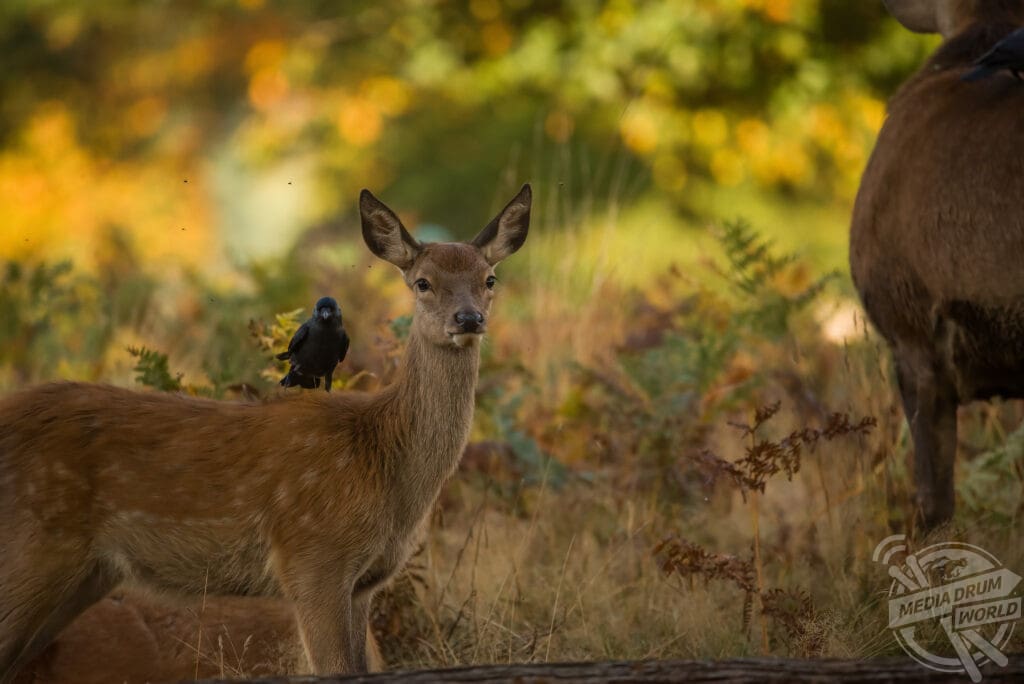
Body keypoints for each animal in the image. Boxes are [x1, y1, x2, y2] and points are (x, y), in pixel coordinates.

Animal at [0, 184, 531, 681]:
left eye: (489, 278)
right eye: (423, 282)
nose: (469, 318)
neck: (383, 462)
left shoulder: (362, 583)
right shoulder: (312, 558)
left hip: (85, 575)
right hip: (33, 546)